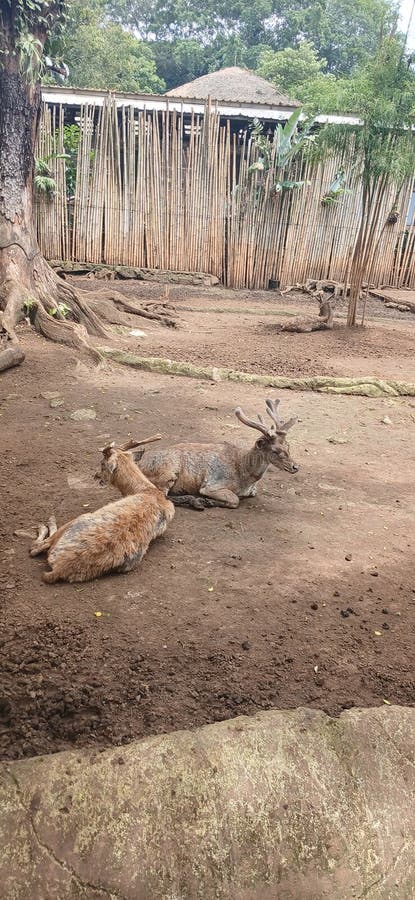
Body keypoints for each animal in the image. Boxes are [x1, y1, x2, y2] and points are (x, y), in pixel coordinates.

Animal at [30, 435, 174, 583]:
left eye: (102, 463)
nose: (96, 475)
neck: (147, 490)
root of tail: (60, 568)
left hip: (80, 518)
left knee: (36, 547)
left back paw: (46, 523)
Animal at [127, 398, 298, 510]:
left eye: (289, 446)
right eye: (275, 450)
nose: (295, 467)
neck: (246, 475)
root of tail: (139, 465)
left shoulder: (251, 491)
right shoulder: (212, 484)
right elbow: (234, 500)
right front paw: (208, 501)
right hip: (167, 471)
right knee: (162, 495)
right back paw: (196, 501)